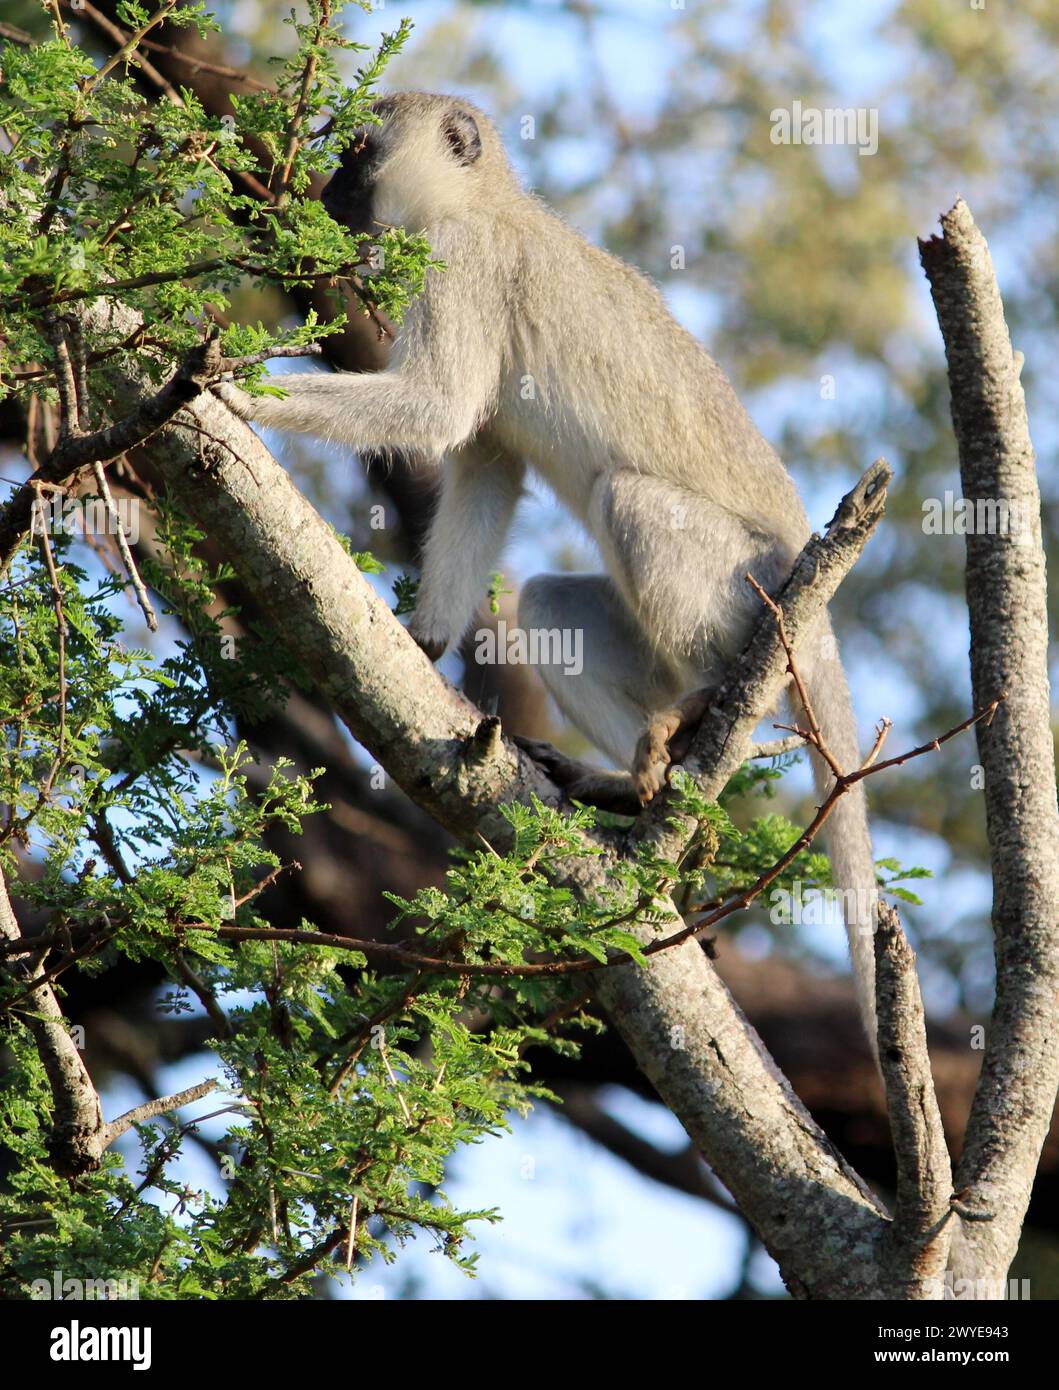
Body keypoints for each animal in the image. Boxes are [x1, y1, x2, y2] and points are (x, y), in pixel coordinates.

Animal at [216, 91, 879, 1045]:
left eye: (358, 152)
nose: (326, 192)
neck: (483, 203)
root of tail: (808, 590)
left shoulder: (466, 265)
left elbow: (434, 408)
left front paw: (227, 385)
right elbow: (485, 461)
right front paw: (426, 641)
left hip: (745, 589)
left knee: (627, 503)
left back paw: (695, 708)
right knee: (547, 604)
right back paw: (628, 785)